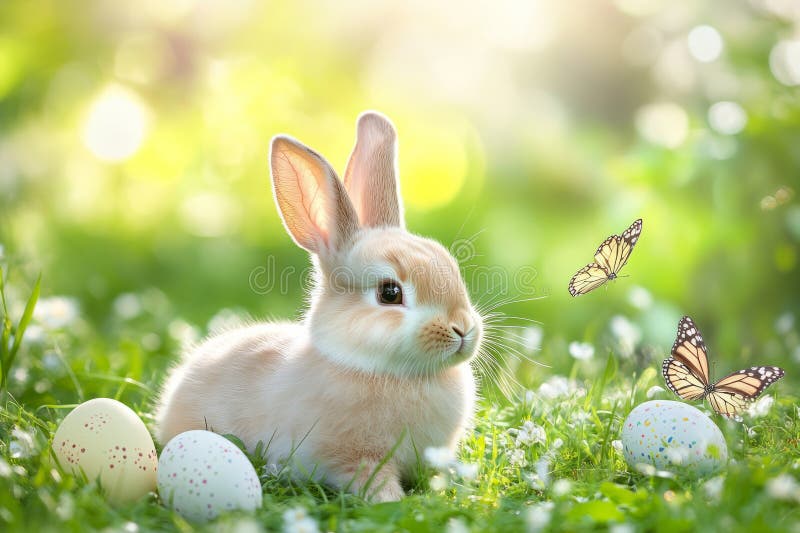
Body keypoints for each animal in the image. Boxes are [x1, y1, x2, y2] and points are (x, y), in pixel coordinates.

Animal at [154, 111, 482, 502]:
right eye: (390, 293)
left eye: (452, 265)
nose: (463, 329)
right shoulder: (354, 457)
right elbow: (372, 479)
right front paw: (392, 501)